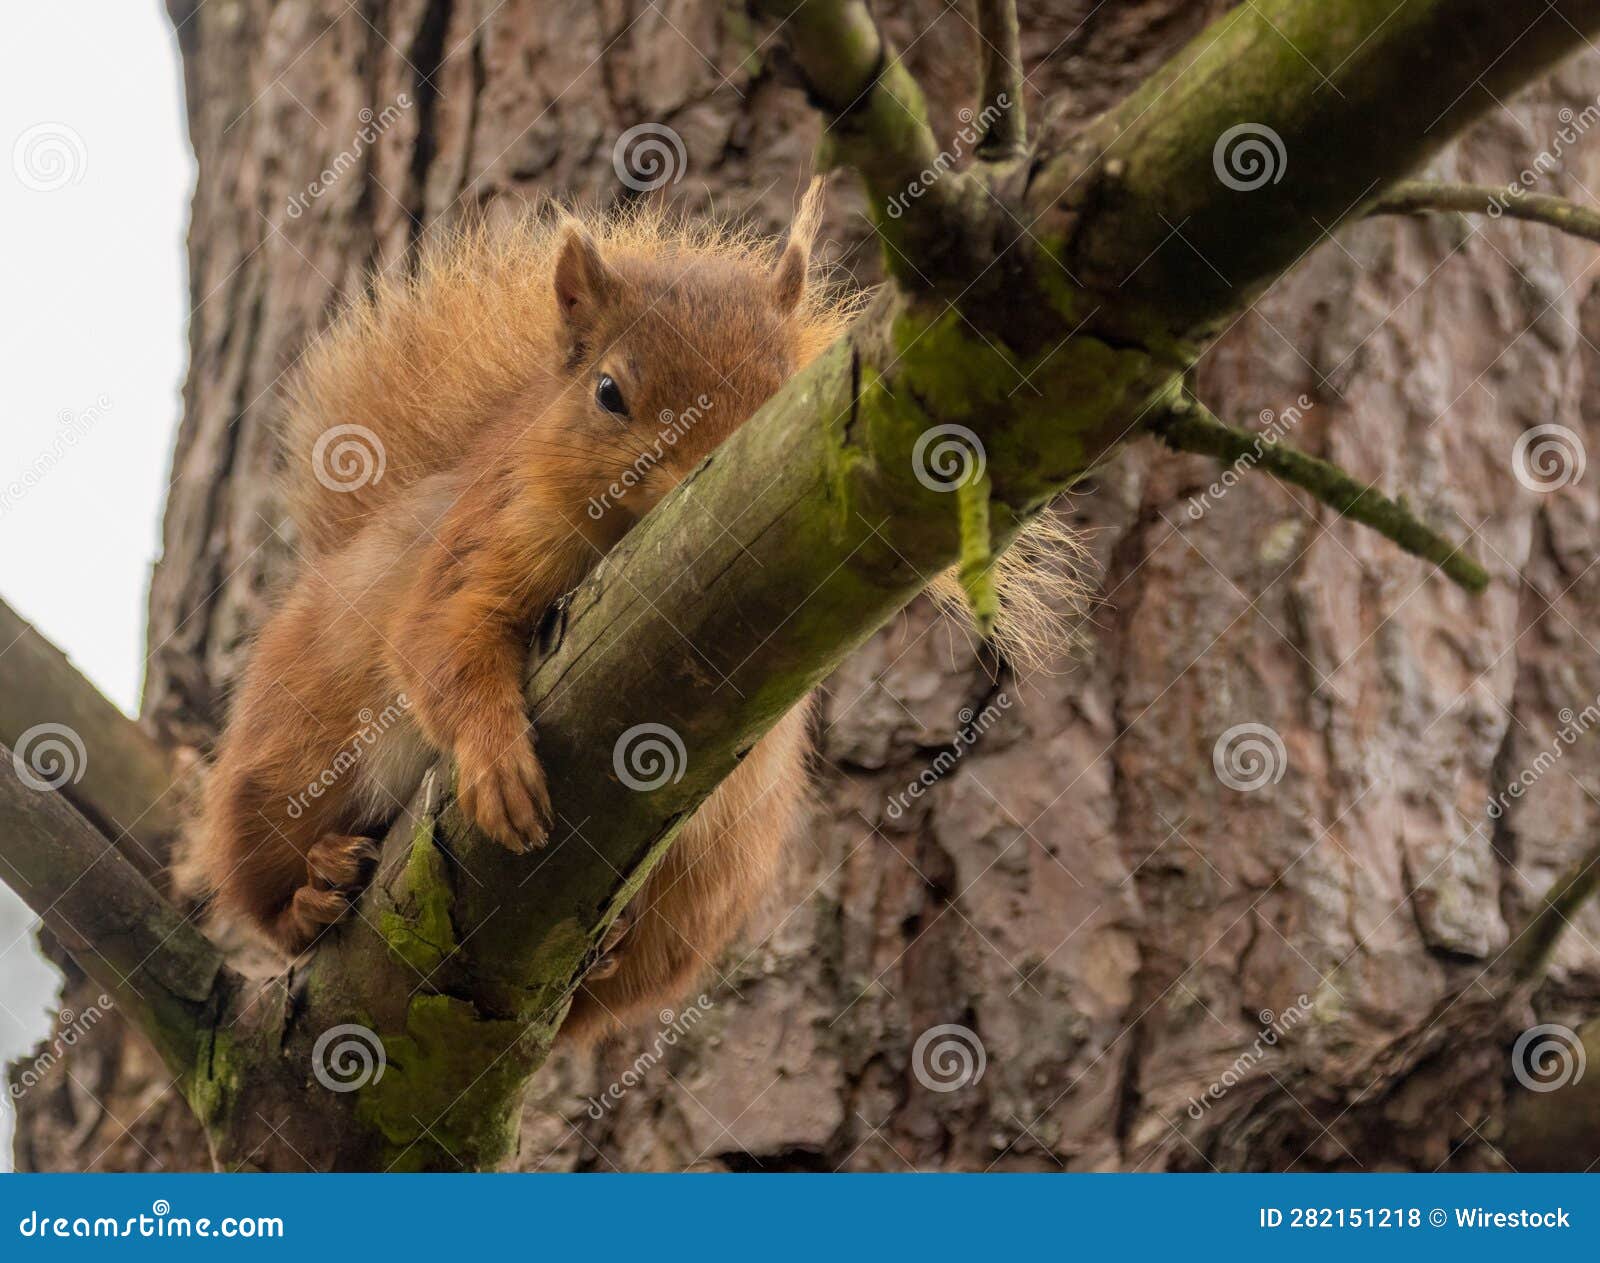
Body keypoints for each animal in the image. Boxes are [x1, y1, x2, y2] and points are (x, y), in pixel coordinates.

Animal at [177, 180, 1084, 1046]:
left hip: (707, 876)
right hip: (291, 759)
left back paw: (606, 952)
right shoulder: (487, 534)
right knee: (254, 883)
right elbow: (441, 641)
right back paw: (312, 890)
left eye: (789, 384)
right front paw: (498, 765)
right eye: (609, 391)